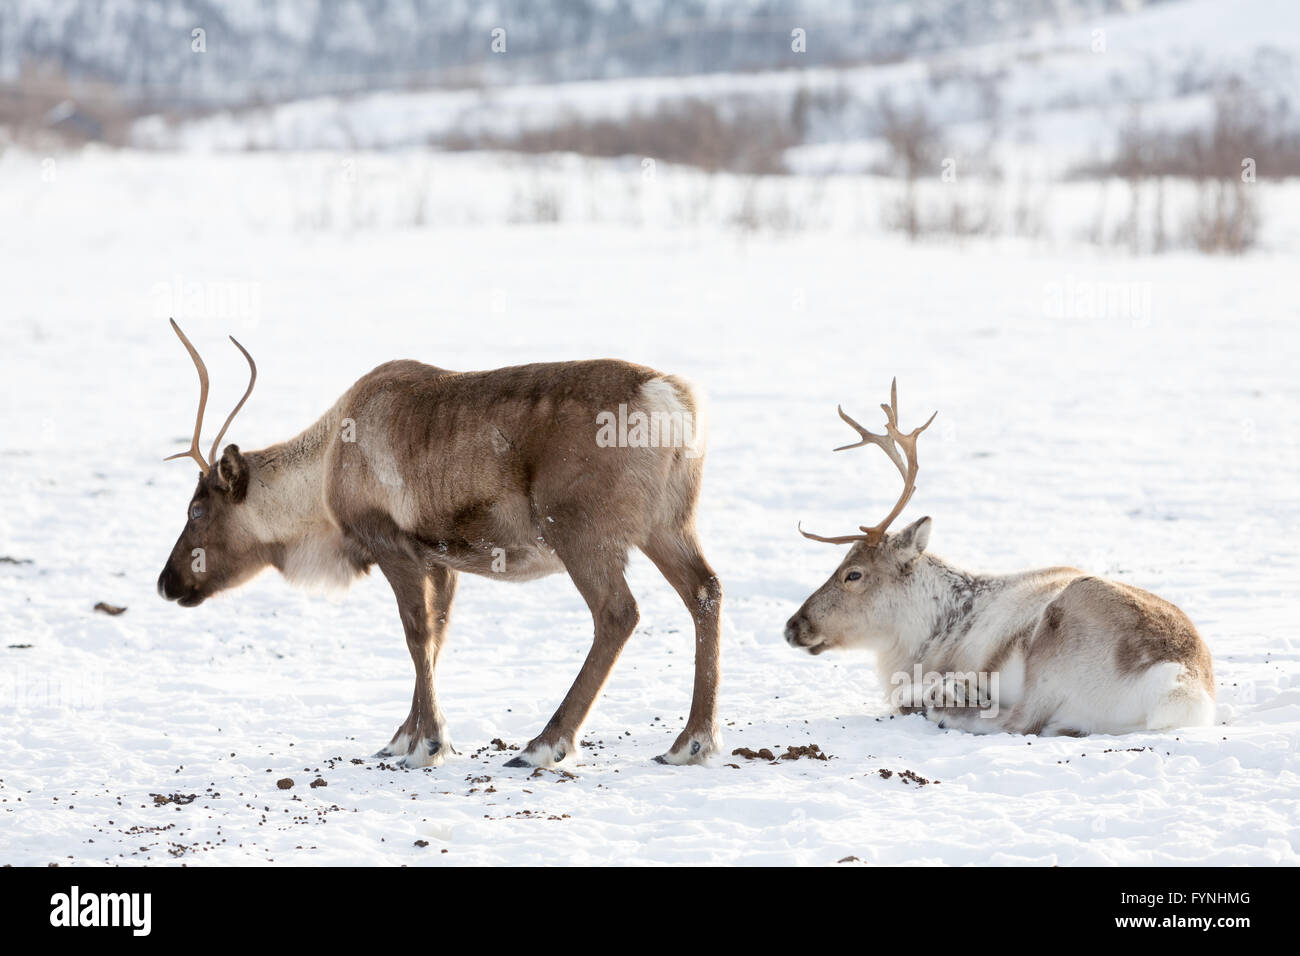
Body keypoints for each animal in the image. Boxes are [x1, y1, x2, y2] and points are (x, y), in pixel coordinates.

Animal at [156, 320, 722, 768]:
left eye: (197, 510)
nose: (165, 583)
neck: (324, 474)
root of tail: (669, 400)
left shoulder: (391, 544)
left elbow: (416, 635)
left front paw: (429, 743)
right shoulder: (440, 560)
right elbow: (438, 636)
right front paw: (403, 737)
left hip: (580, 530)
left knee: (617, 612)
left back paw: (544, 744)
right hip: (668, 523)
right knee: (705, 591)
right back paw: (692, 741)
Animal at [784, 381, 1215, 737]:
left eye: (853, 574)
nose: (792, 625)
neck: (924, 632)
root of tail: (1182, 687)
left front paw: (947, 691)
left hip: (1052, 646)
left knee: (1016, 723)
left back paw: (946, 705)